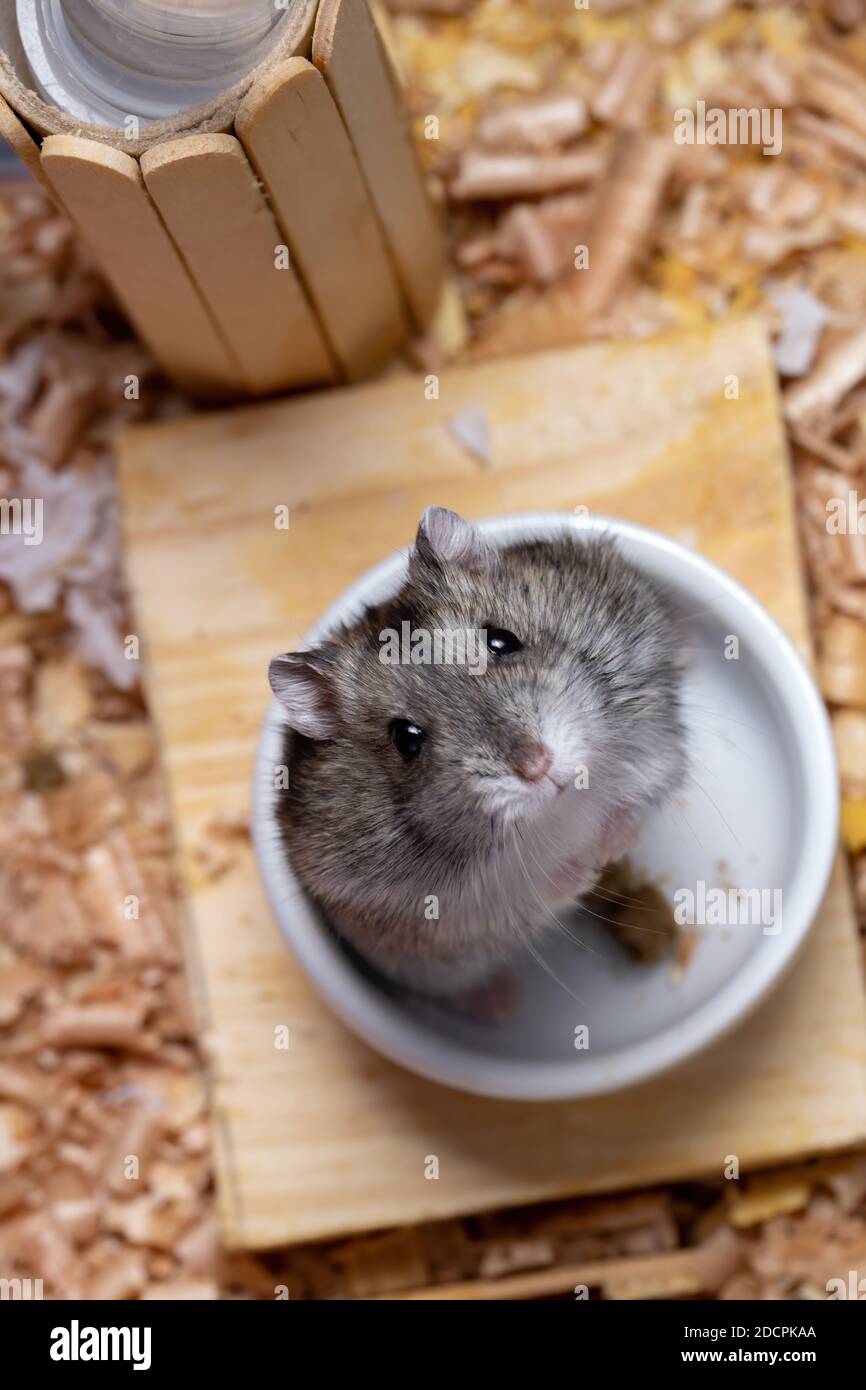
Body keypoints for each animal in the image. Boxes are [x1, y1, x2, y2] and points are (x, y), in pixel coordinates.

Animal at [269, 507, 688, 1004]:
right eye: (406, 739)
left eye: (502, 640)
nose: (539, 767)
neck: (555, 811)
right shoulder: (432, 917)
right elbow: (528, 901)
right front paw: (583, 869)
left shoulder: (652, 722)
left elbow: (639, 791)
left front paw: (610, 843)